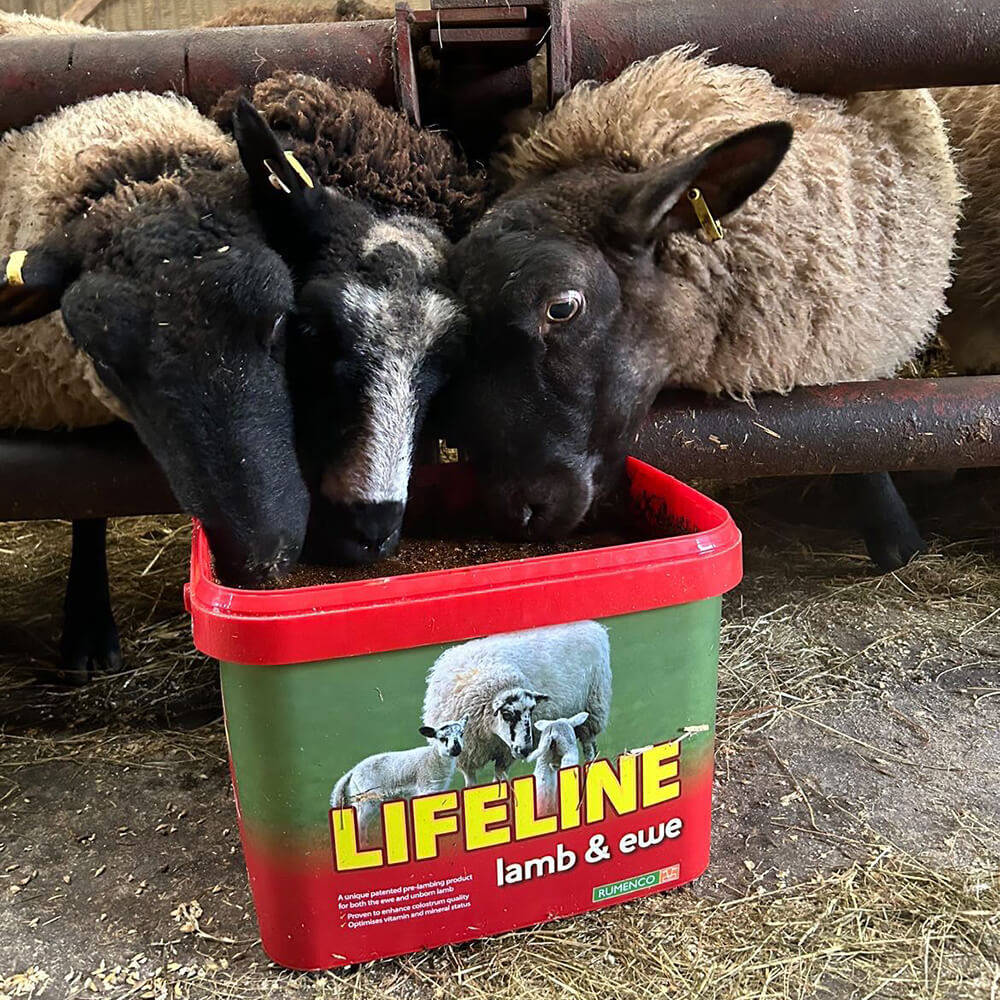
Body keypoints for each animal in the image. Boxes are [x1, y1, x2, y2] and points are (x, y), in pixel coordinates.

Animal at [330, 716, 467, 849]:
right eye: (442, 738)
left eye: (462, 734)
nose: (456, 749)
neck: (433, 758)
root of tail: (352, 772)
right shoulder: (426, 786)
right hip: (367, 798)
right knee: (360, 824)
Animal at [422, 621, 611, 786]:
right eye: (507, 714)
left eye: (532, 710)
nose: (526, 750)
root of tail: (595, 625)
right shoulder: (468, 756)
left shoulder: (505, 753)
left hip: (593, 709)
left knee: (589, 747)